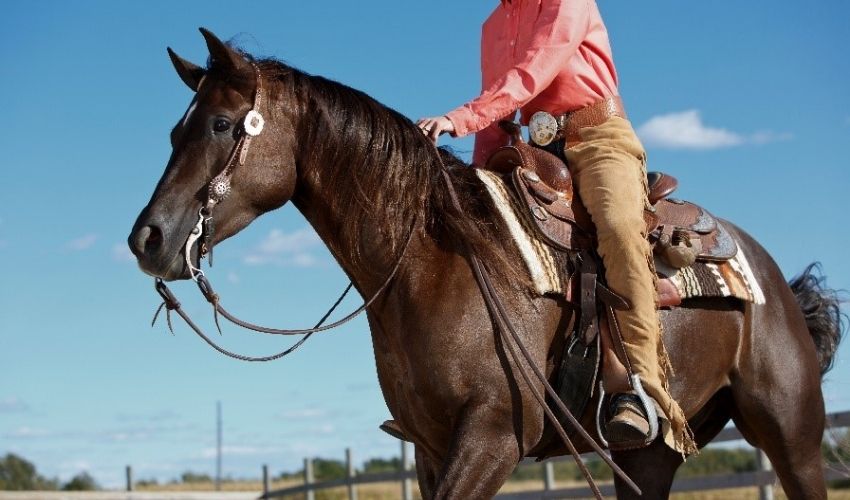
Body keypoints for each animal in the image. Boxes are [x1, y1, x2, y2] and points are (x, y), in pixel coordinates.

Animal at [128, 29, 843, 499]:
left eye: (222, 125)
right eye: (174, 131)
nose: (147, 239)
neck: (433, 261)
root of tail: (775, 281)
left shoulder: (494, 438)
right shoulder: (428, 446)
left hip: (793, 437)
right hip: (649, 459)